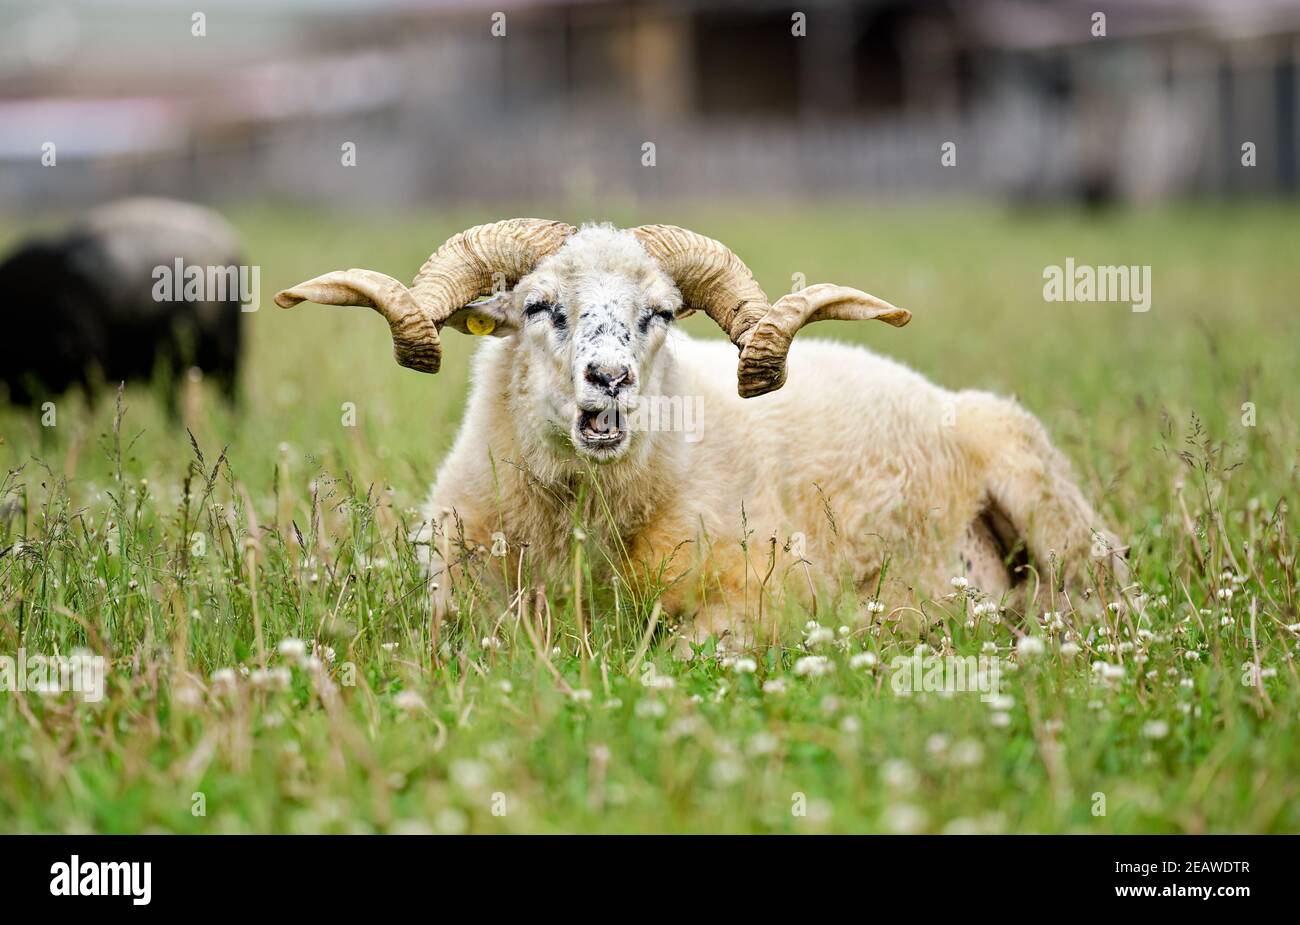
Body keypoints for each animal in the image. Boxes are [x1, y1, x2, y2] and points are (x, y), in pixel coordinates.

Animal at [276, 219, 1126, 642]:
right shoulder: (457, 606)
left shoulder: (767, 593)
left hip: (1056, 513)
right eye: (538, 305)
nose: (610, 379)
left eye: (659, 312)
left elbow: (690, 646)